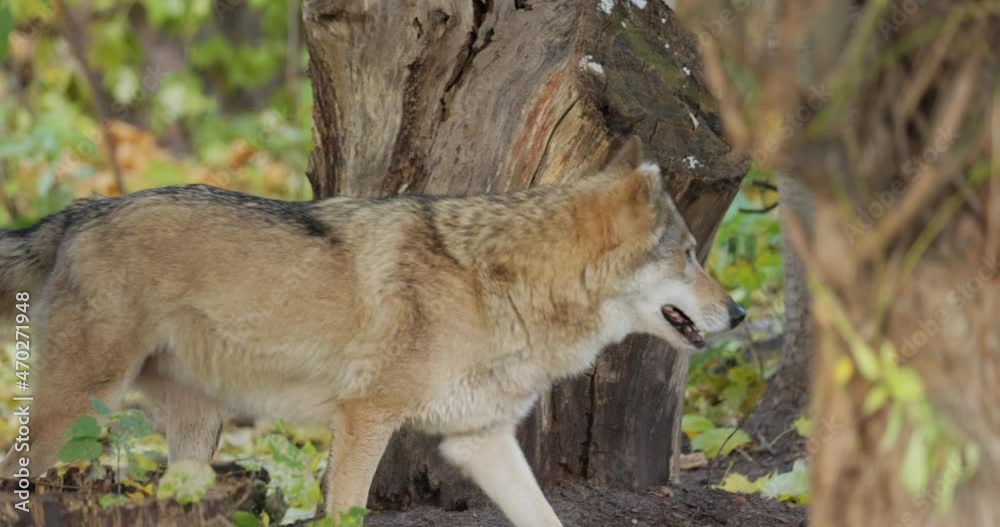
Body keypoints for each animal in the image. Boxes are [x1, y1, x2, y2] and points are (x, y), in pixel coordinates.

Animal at [0, 137, 744, 526]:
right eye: (690, 255)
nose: (737, 314)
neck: (501, 285)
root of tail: (80, 210)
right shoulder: (365, 420)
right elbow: (347, 510)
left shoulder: (480, 440)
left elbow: (546, 516)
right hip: (76, 408)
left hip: (194, 442)